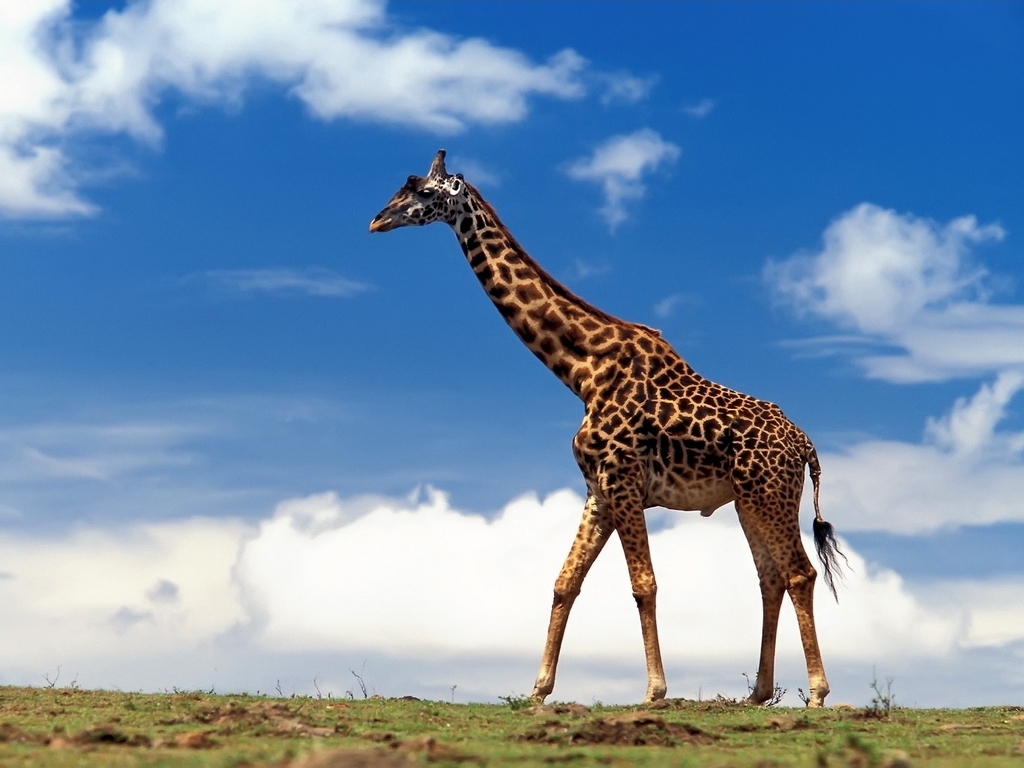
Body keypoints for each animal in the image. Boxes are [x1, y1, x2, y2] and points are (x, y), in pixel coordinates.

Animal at [369, 150, 845, 707]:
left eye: (423, 191)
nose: (377, 221)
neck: (581, 371)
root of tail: (806, 445)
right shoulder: (598, 489)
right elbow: (564, 582)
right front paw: (538, 690)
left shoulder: (623, 480)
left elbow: (644, 583)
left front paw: (655, 691)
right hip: (750, 499)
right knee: (770, 578)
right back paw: (757, 693)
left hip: (770, 495)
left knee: (799, 572)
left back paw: (816, 694)